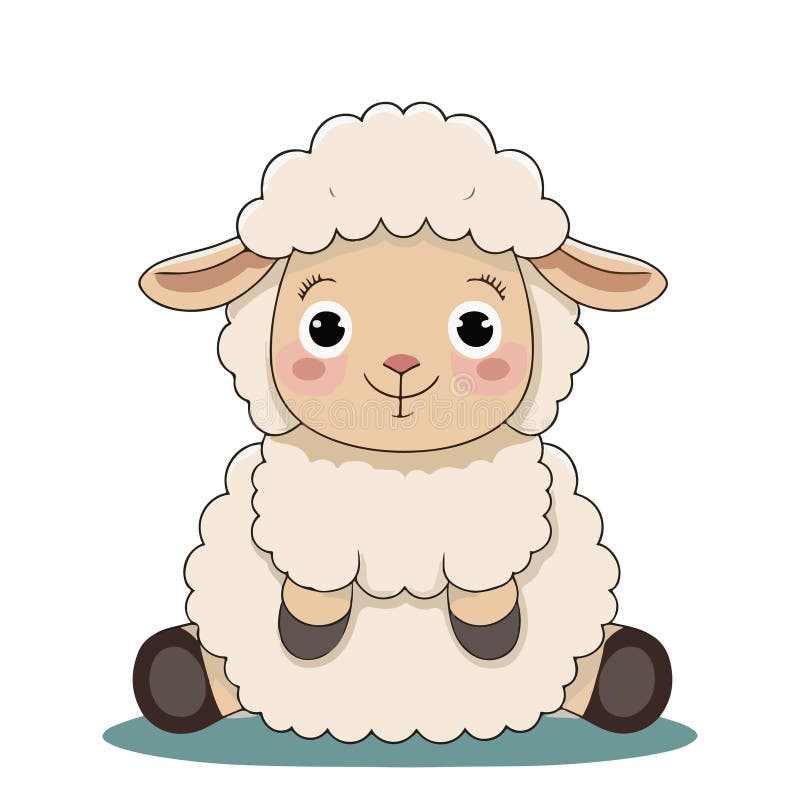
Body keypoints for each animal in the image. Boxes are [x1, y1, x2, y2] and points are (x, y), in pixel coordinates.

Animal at [133, 103, 671, 743]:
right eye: (324, 327)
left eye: (476, 327)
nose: (400, 365)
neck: (404, 471)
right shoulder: (311, 529)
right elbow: (315, 589)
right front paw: (307, 635)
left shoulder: (490, 529)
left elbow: (484, 589)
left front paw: (491, 636)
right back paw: (176, 675)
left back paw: (628, 674)